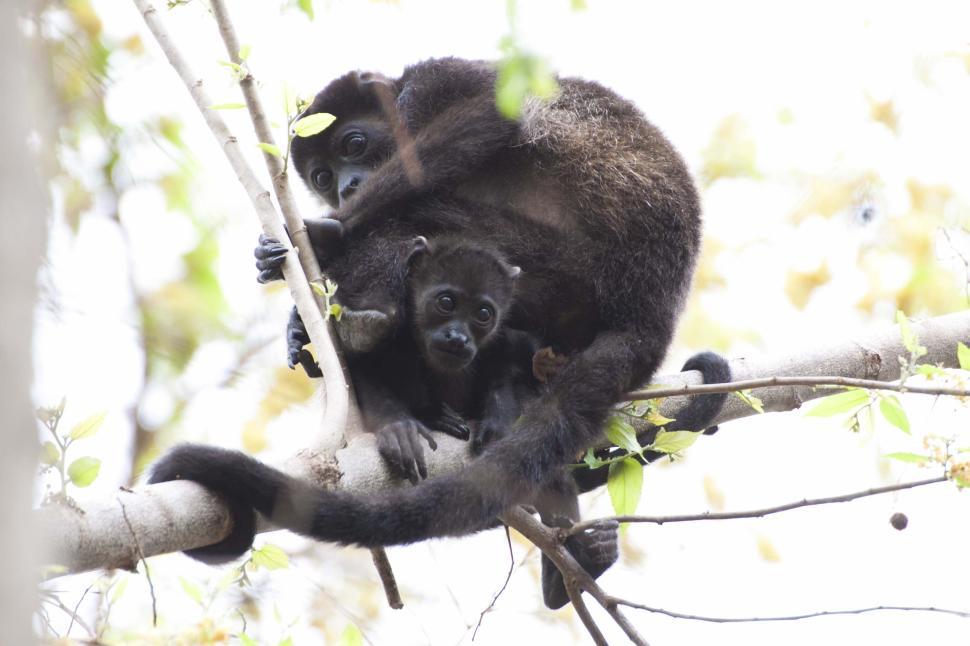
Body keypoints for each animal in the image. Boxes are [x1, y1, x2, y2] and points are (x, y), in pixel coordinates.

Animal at [151, 57, 732, 585]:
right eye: (321, 176)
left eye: (353, 145)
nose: (345, 188)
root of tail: (655, 308)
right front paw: (292, 308)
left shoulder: (436, 80)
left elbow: (493, 113)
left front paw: (324, 231)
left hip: (567, 267)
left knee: (419, 213)